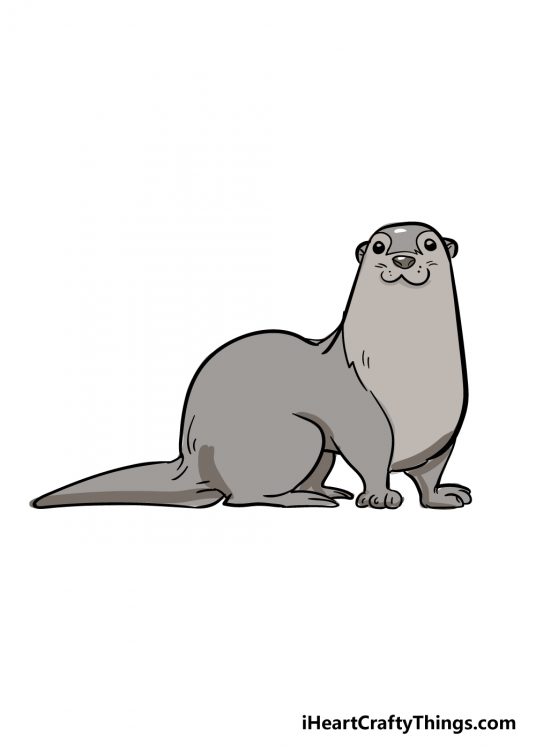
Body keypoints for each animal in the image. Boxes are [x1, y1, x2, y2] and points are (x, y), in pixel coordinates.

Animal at [32, 221, 470, 510]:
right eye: (379, 247)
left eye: (429, 243)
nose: (402, 257)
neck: (410, 369)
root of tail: (188, 457)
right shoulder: (360, 410)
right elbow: (372, 454)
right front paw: (379, 495)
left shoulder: (447, 430)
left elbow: (431, 471)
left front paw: (443, 496)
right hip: (297, 436)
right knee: (242, 497)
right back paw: (300, 500)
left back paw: (324, 491)